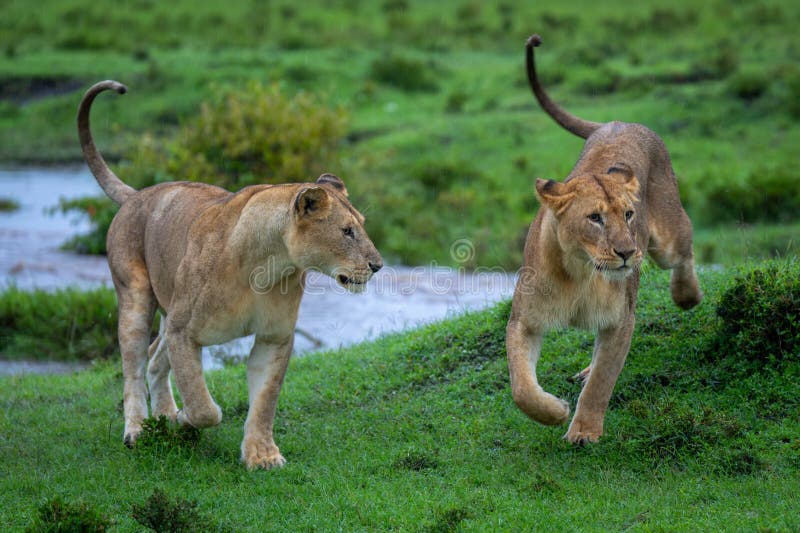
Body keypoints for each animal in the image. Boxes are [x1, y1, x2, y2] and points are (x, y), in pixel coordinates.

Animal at [78, 80, 383, 469]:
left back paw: (163, 419)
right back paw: (139, 430)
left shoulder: (274, 337)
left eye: (361, 225)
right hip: (136, 298)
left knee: (155, 358)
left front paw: (261, 455)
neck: (267, 266)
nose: (378, 265)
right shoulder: (184, 331)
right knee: (134, 364)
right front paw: (185, 420)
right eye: (347, 231)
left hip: (168, 309)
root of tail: (137, 194)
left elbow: (264, 401)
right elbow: (203, 406)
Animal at [506, 35, 702, 444]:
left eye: (628, 215)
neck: (580, 273)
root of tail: (618, 122)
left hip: (667, 238)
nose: (627, 252)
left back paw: (687, 296)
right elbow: (521, 387)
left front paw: (583, 431)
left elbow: (602, 382)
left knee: (685, 246)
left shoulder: (620, 320)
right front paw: (554, 411)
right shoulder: (524, 321)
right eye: (594, 218)